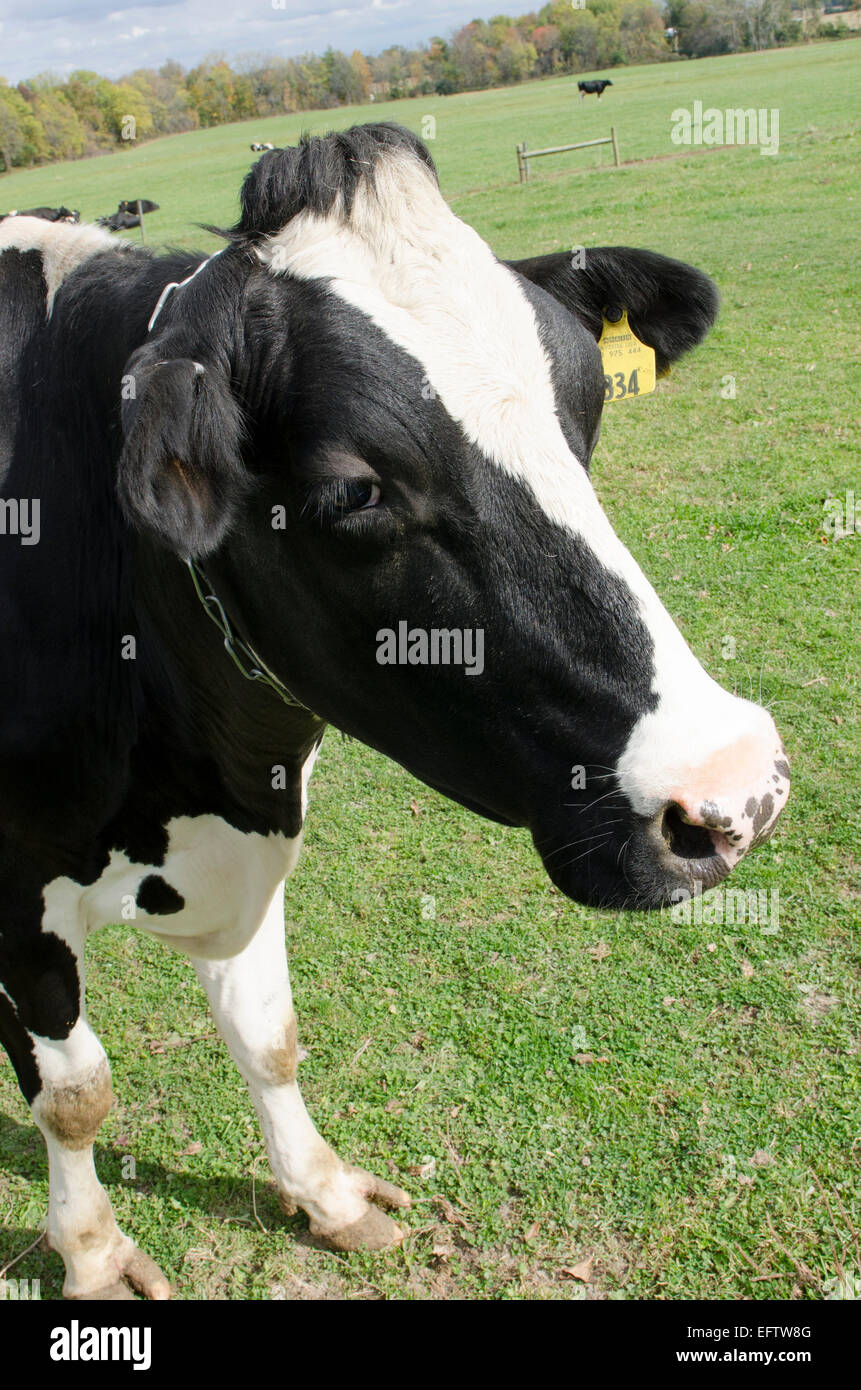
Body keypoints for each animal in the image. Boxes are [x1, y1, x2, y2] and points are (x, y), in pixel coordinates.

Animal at [0, 122, 789, 1300]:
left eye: (590, 408)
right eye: (353, 490)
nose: (735, 793)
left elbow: (267, 1032)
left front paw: (324, 1194)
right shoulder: (12, 897)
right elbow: (74, 1093)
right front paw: (92, 1256)